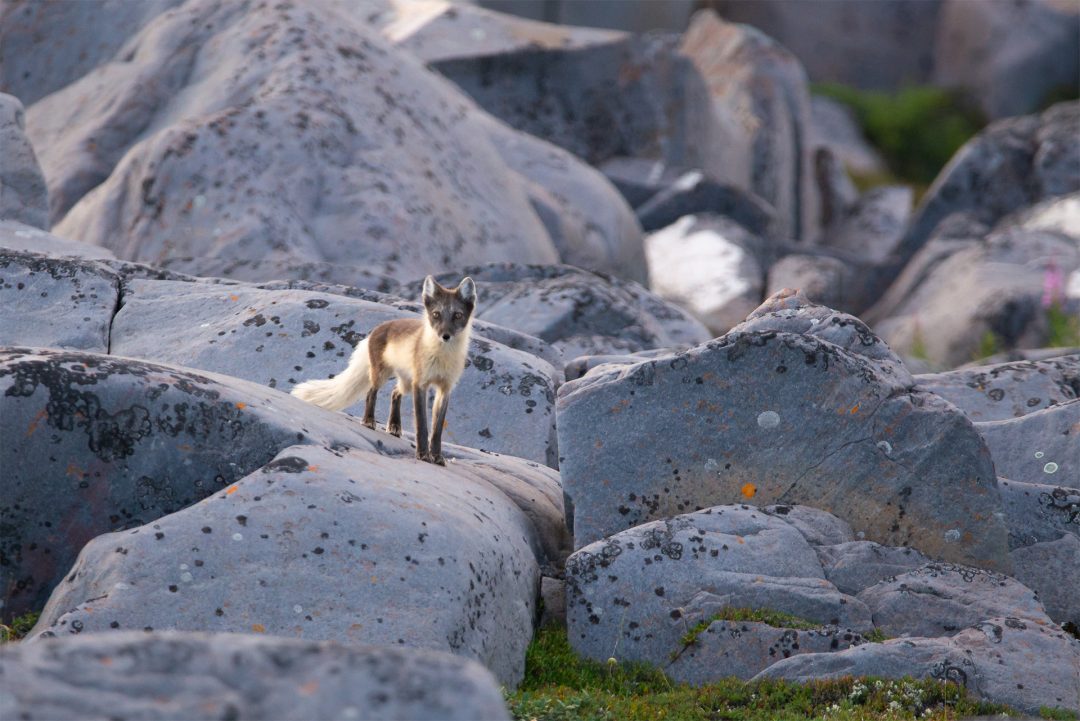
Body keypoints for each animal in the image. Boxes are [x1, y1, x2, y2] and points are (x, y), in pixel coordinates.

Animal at [291, 275, 476, 466]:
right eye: (436, 314)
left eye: (457, 315)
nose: (445, 336)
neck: (442, 357)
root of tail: (376, 329)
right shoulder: (420, 385)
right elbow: (422, 425)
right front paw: (423, 454)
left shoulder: (445, 389)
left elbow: (437, 430)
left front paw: (437, 456)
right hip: (382, 375)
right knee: (371, 393)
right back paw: (368, 421)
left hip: (405, 382)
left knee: (395, 392)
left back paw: (394, 426)